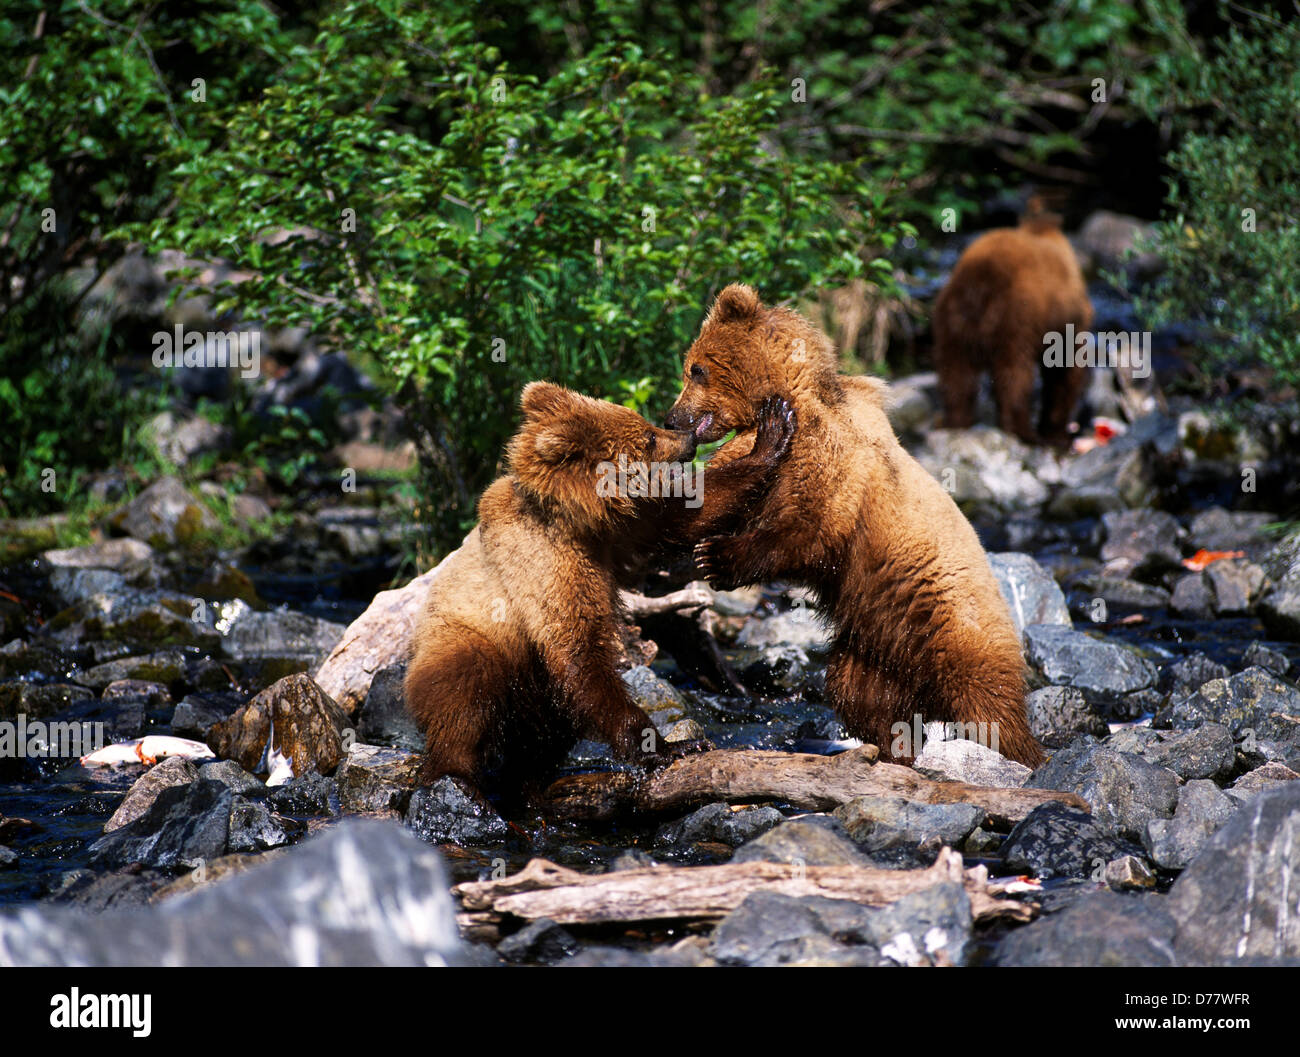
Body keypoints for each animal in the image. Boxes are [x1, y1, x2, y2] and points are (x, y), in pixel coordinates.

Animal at [405, 380, 796, 802]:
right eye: (647, 437)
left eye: (645, 425)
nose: (686, 435)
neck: (577, 521)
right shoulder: (549, 566)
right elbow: (580, 652)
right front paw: (669, 745)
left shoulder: (625, 529)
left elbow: (688, 513)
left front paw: (774, 430)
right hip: (467, 648)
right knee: (464, 705)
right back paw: (457, 778)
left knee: (545, 728)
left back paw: (527, 780)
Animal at [664, 283, 1044, 767]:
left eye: (695, 368)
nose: (672, 417)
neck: (792, 399)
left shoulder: (830, 462)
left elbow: (809, 531)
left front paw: (715, 557)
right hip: (874, 650)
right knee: (860, 696)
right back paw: (892, 750)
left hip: (957, 631)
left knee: (987, 707)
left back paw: (1022, 756)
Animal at [931, 203, 1094, 448]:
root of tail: (978, 281)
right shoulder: (1067, 319)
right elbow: (1064, 369)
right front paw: (1057, 432)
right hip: (1017, 319)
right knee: (1015, 375)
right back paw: (1023, 431)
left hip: (951, 322)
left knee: (956, 374)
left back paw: (955, 421)